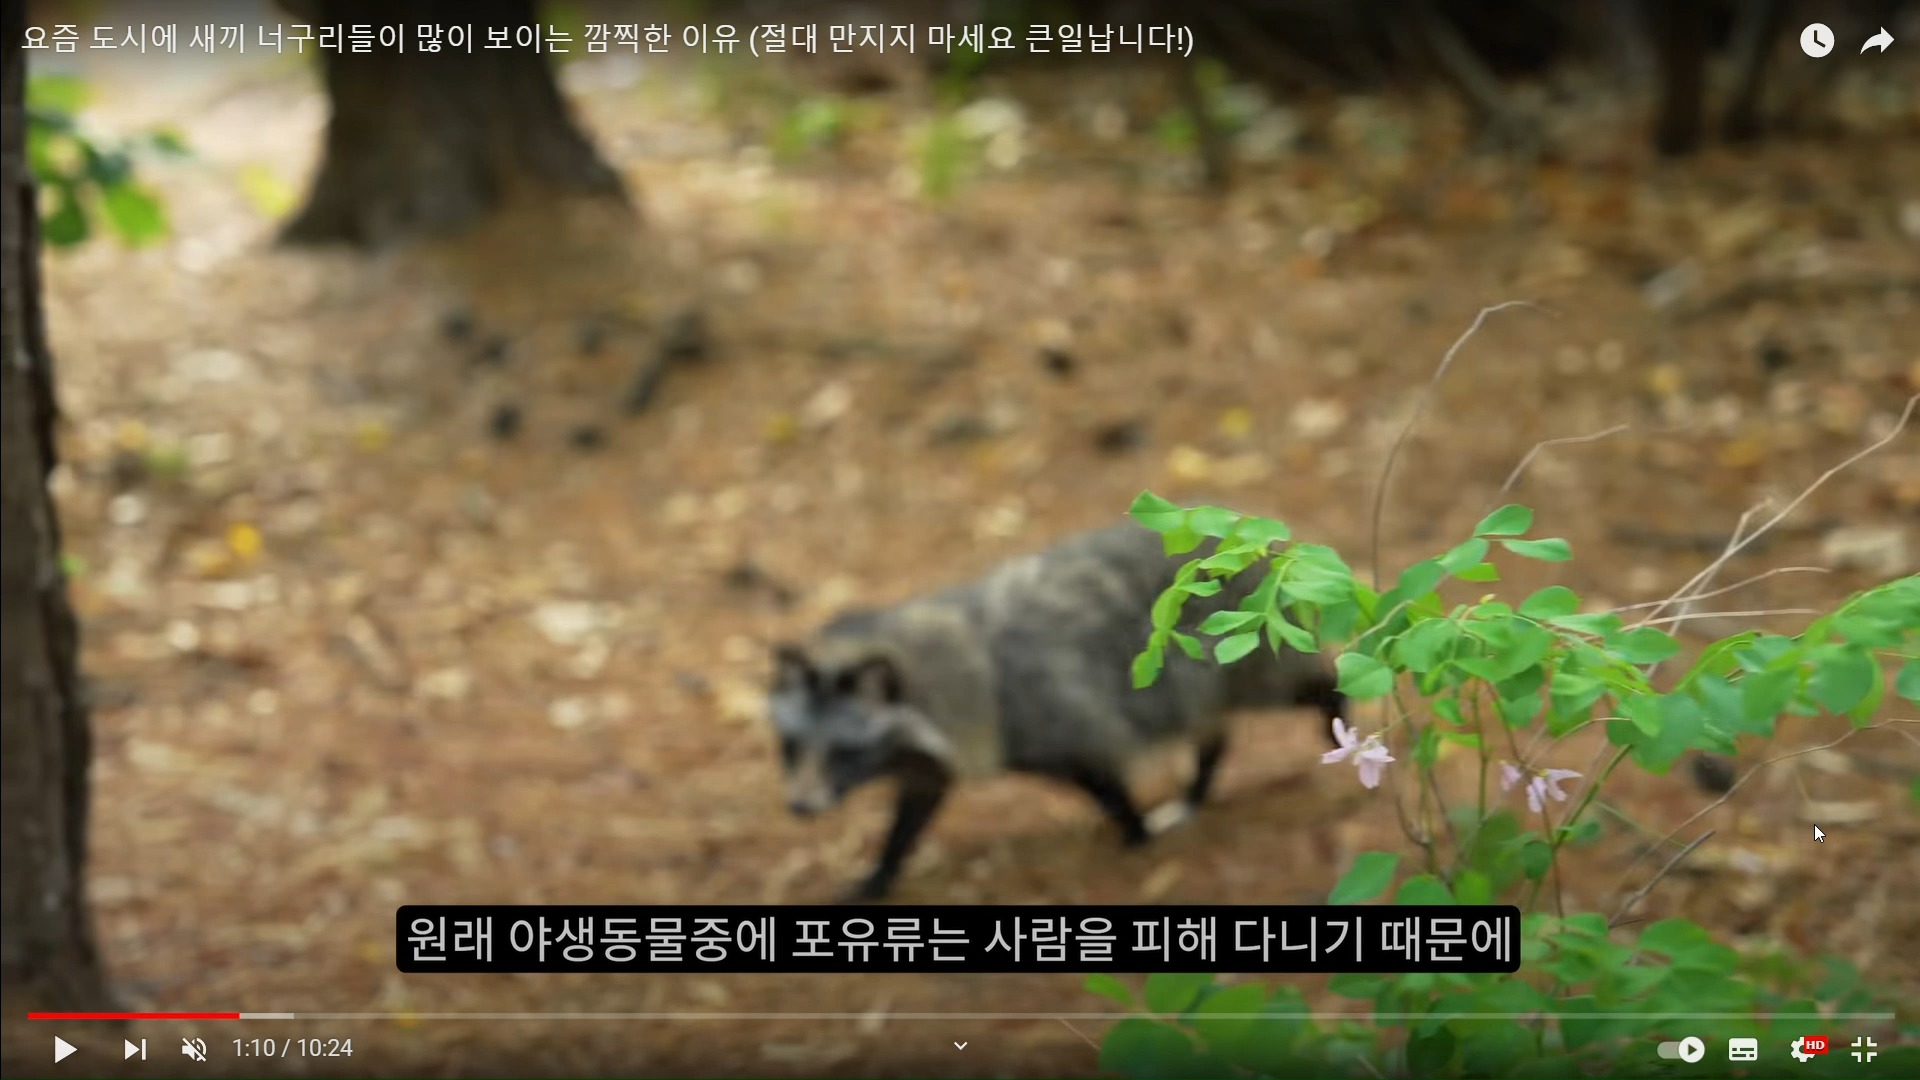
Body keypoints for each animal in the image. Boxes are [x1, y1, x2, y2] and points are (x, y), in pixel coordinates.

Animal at [766, 521, 1346, 901]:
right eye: (793, 747)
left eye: (844, 752)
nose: (799, 807)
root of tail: (1246, 544)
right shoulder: (925, 751)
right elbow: (917, 804)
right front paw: (882, 871)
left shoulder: (1049, 715)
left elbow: (1103, 781)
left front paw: (1134, 829)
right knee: (1212, 732)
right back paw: (1198, 786)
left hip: (1243, 655)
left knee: (1292, 687)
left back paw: (1332, 707)